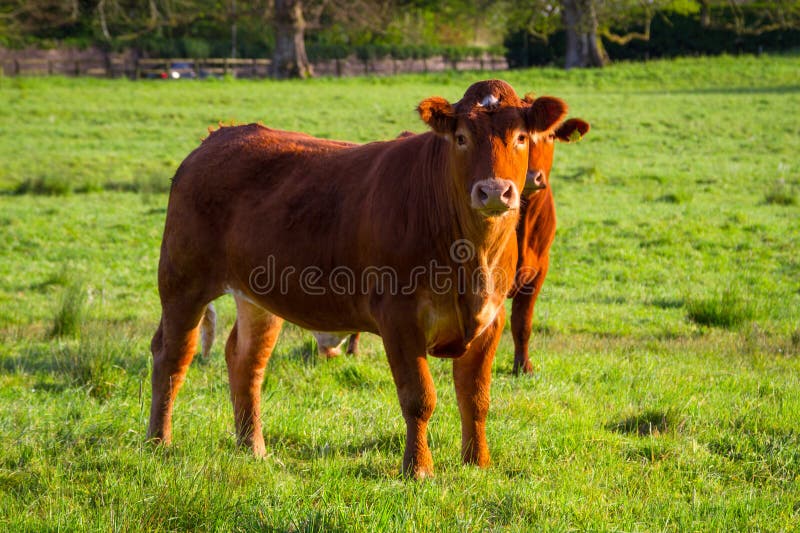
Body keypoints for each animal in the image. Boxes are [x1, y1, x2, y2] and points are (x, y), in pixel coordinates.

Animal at [147, 79, 568, 478]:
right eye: (462, 137)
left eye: (521, 137)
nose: (494, 191)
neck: (471, 254)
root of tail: (220, 136)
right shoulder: (399, 317)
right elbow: (418, 397)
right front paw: (418, 468)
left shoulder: (490, 317)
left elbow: (476, 397)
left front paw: (477, 462)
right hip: (182, 280)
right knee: (172, 354)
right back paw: (158, 441)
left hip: (257, 295)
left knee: (246, 360)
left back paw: (253, 447)